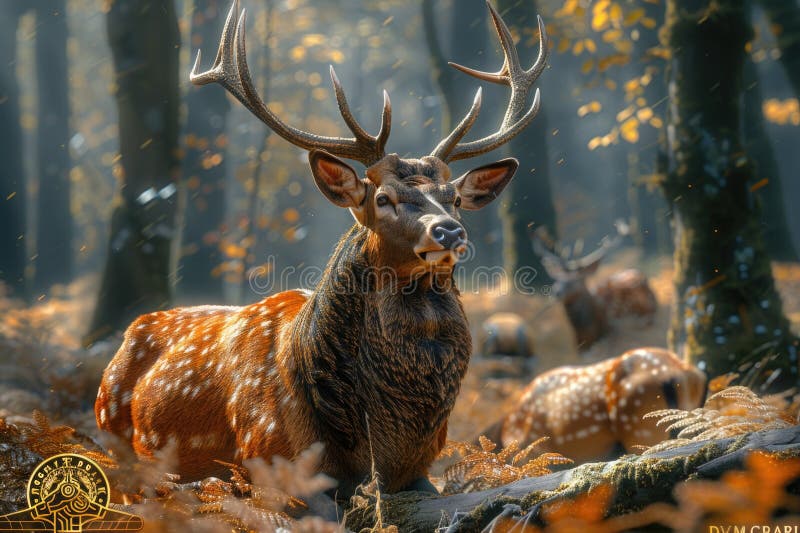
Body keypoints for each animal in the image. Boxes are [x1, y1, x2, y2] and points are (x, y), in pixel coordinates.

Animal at [95, 0, 549, 496]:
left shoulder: (419, 477)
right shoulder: (270, 462)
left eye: (455, 199)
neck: (375, 447)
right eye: (382, 198)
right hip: (116, 445)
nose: (449, 232)